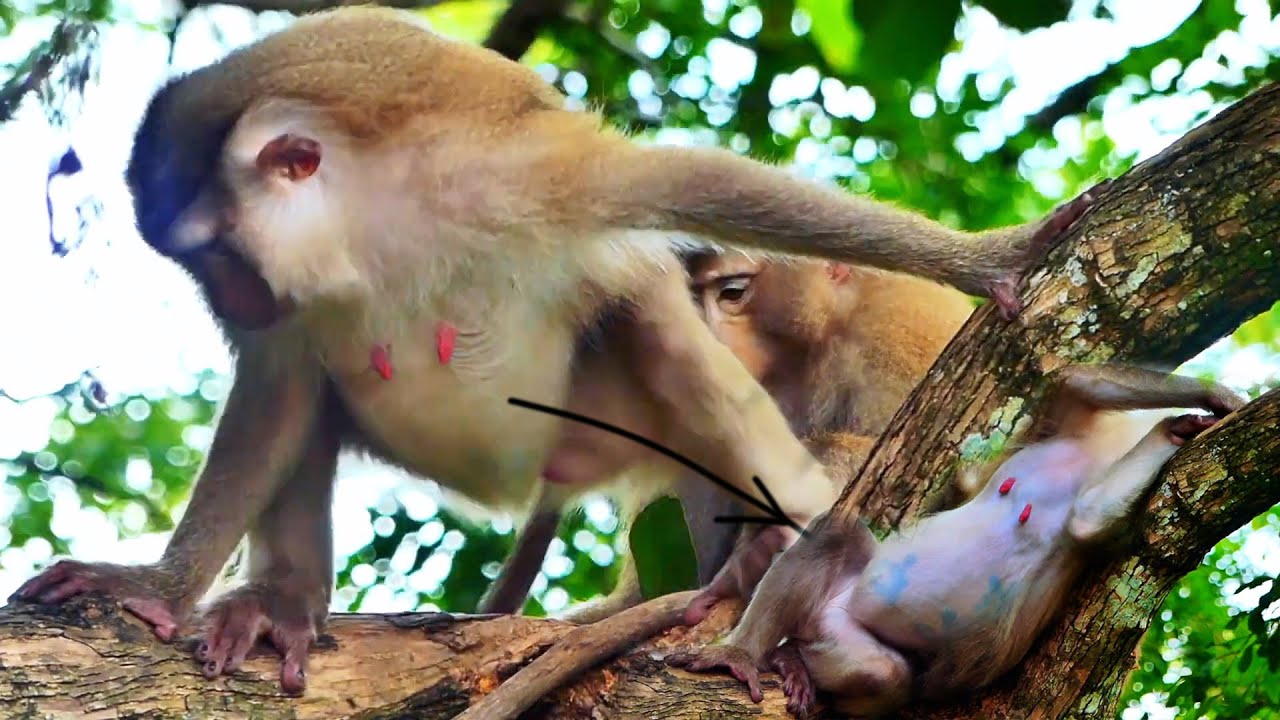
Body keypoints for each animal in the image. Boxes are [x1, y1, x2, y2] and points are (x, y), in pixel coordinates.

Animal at [664, 364, 1245, 718]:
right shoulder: (1057, 427)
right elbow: (1077, 381)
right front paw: (1205, 398)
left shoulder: (1091, 511)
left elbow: (1088, 521)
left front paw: (1174, 430)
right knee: (838, 534)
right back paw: (745, 654)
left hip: (842, 633)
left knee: (886, 674)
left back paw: (796, 663)